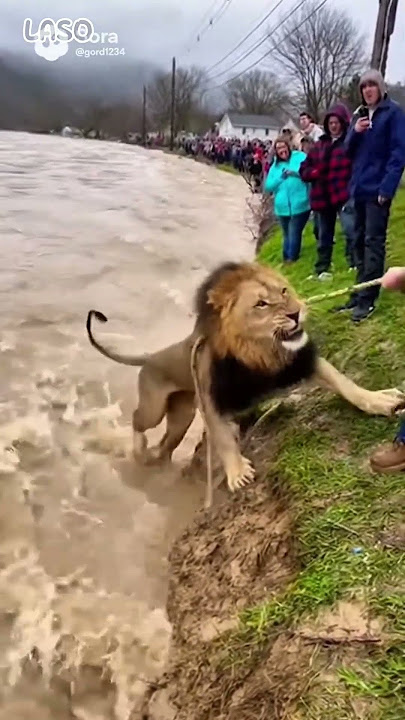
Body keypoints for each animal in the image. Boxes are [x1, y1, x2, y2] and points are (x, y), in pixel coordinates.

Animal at [86, 261, 405, 505]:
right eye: (261, 304)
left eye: (284, 290)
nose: (295, 313)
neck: (260, 351)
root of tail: (149, 356)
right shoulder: (210, 398)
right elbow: (224, 438)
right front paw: (237, 472)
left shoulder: (299, 362)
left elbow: (346, 384)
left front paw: (380, 400)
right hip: (155, 406)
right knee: (137, 419)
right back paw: (139, 448)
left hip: (182, 416)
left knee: (166, 444)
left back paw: (157, 461)